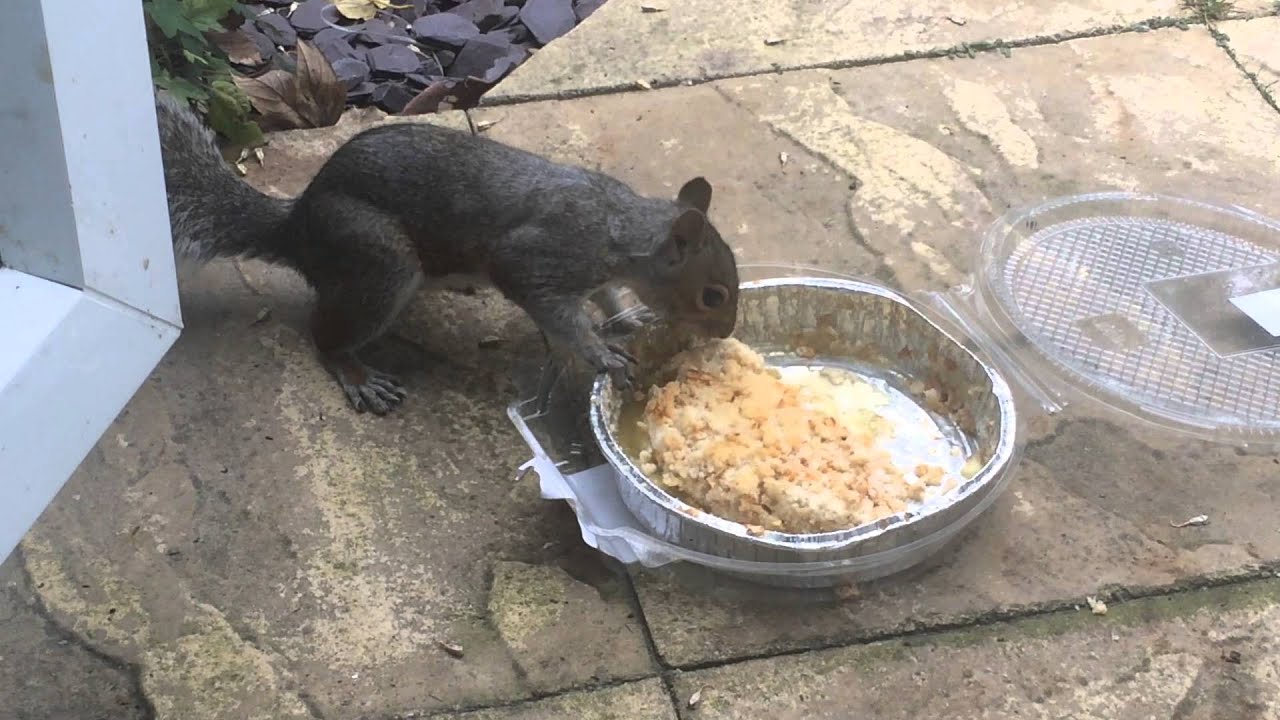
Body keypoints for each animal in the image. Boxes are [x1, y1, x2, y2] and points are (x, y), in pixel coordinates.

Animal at [154, 92, 740, 415]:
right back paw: (358, 375)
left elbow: (608, 296)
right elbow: (558, 313)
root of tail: (297, 225)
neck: (618, 223)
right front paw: (602, 351)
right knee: (324, 333)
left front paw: (629, 315)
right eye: (712, 295)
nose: (727, 333)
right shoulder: (540, 257)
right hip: (379, 263)